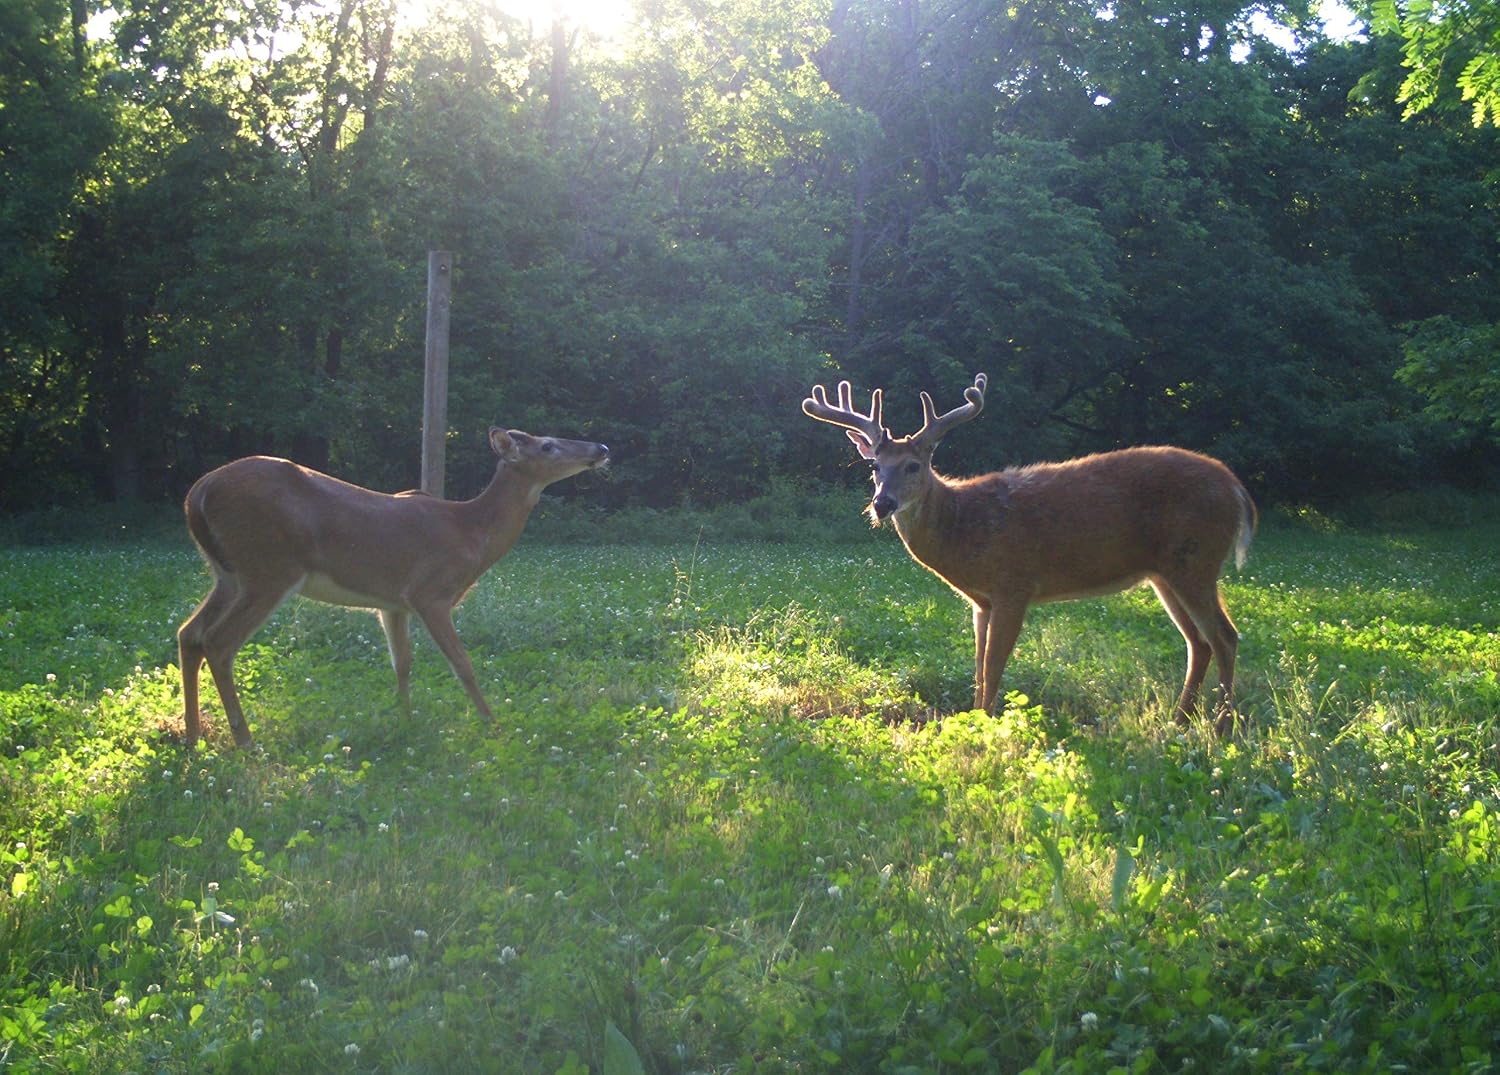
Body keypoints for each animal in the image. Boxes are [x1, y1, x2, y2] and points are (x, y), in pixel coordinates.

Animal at [177, 427, 609, 748]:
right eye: (548, 445)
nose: (601, 448)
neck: (472, 532)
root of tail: (196, 495)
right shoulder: (431, 593)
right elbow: (463, 664)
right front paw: (492, 724)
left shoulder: (392, 603)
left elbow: (402, 663)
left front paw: (406, 721)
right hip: (267, 567)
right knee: (218, 641)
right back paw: (245, 740)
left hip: (228, 574)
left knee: (189, 633)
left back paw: (193, 736)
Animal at [802, 373, 1256, 735]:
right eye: (875, 467)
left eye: (914, 465)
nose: (882, 504)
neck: (964, 529)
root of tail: (1237, 489)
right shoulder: (981, 602)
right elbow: (978, 666)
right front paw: (972, 719)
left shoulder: (1015, 584)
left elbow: (994, 665)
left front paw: (985, 726)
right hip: (1166, 572)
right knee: (1198, 642)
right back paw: (1179, 721)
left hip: (1196, 560)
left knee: (1225, 636)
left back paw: (1222, 726)